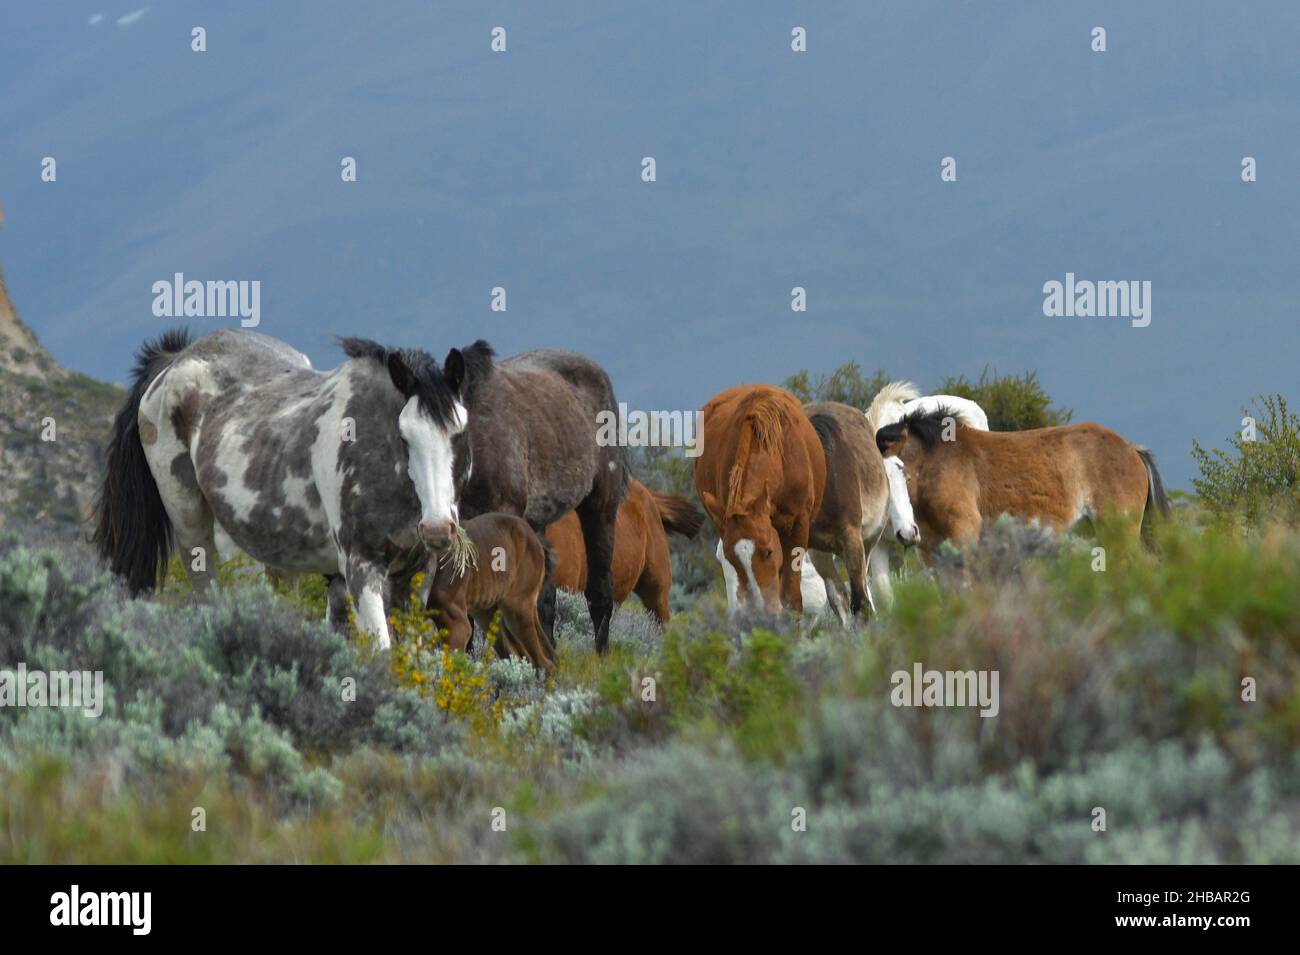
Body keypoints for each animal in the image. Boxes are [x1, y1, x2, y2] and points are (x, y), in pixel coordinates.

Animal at [93, 328, 487, 649]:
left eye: (459, 433)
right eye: (404, 436)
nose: (437, 529)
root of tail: (174, 361)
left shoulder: (415, 576)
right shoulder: (362, 566)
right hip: (194, 534)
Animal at [875, 406, 1169, 555]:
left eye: (901, 475)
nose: (905, 534)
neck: (934, 459)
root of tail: (1132, 449)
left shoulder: (963, 532)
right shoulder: (930, 546)